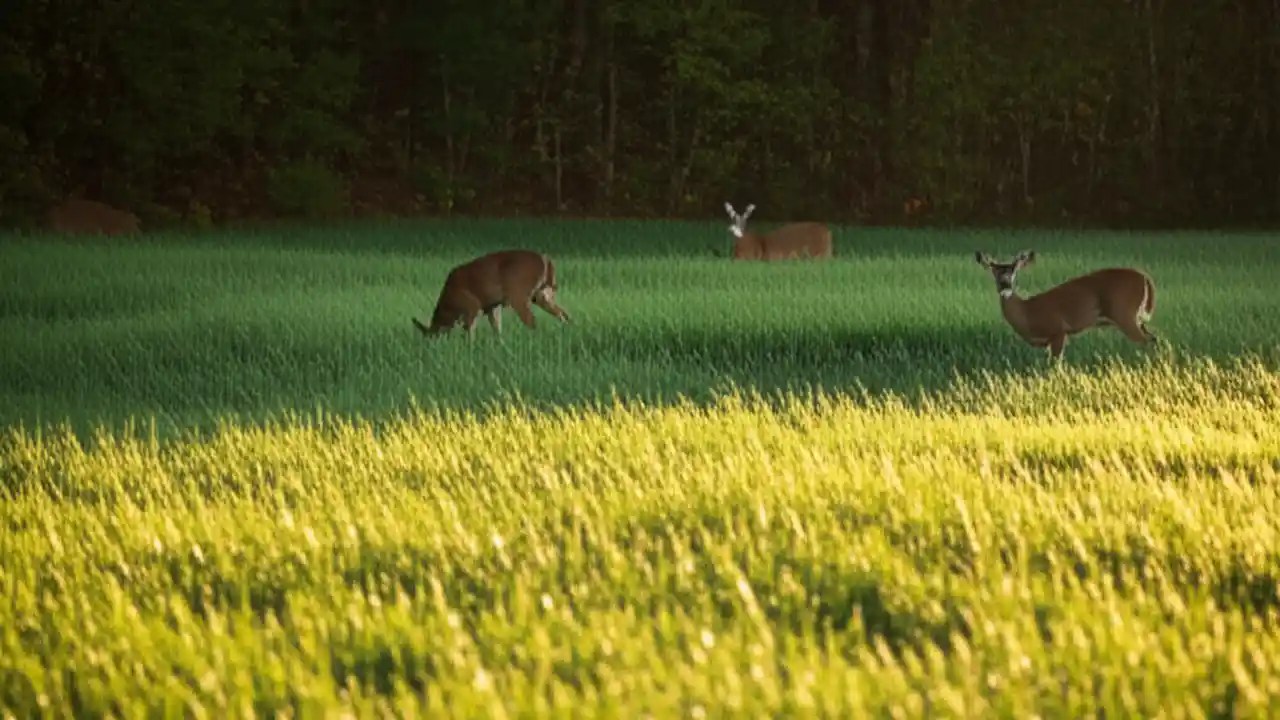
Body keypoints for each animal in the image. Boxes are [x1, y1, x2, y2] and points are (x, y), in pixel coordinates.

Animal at [412, 250, 571, 339]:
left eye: (430, 337)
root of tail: (546, 260)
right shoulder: (492, 306)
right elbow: (496, 327)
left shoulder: (472, 304)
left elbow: (469, 330)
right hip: (542, 294)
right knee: (563, 314)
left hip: (518, 293)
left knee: (532, 320)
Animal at [974, 249, 1158, 360]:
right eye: (994, 272)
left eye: (1014, 272)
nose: (1005, 287)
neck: (1027, 312)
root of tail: (1145, 277)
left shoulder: (1058, 330)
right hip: (1137, 318)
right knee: (1153, 338)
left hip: (1124, 313)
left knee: (1146, 340)